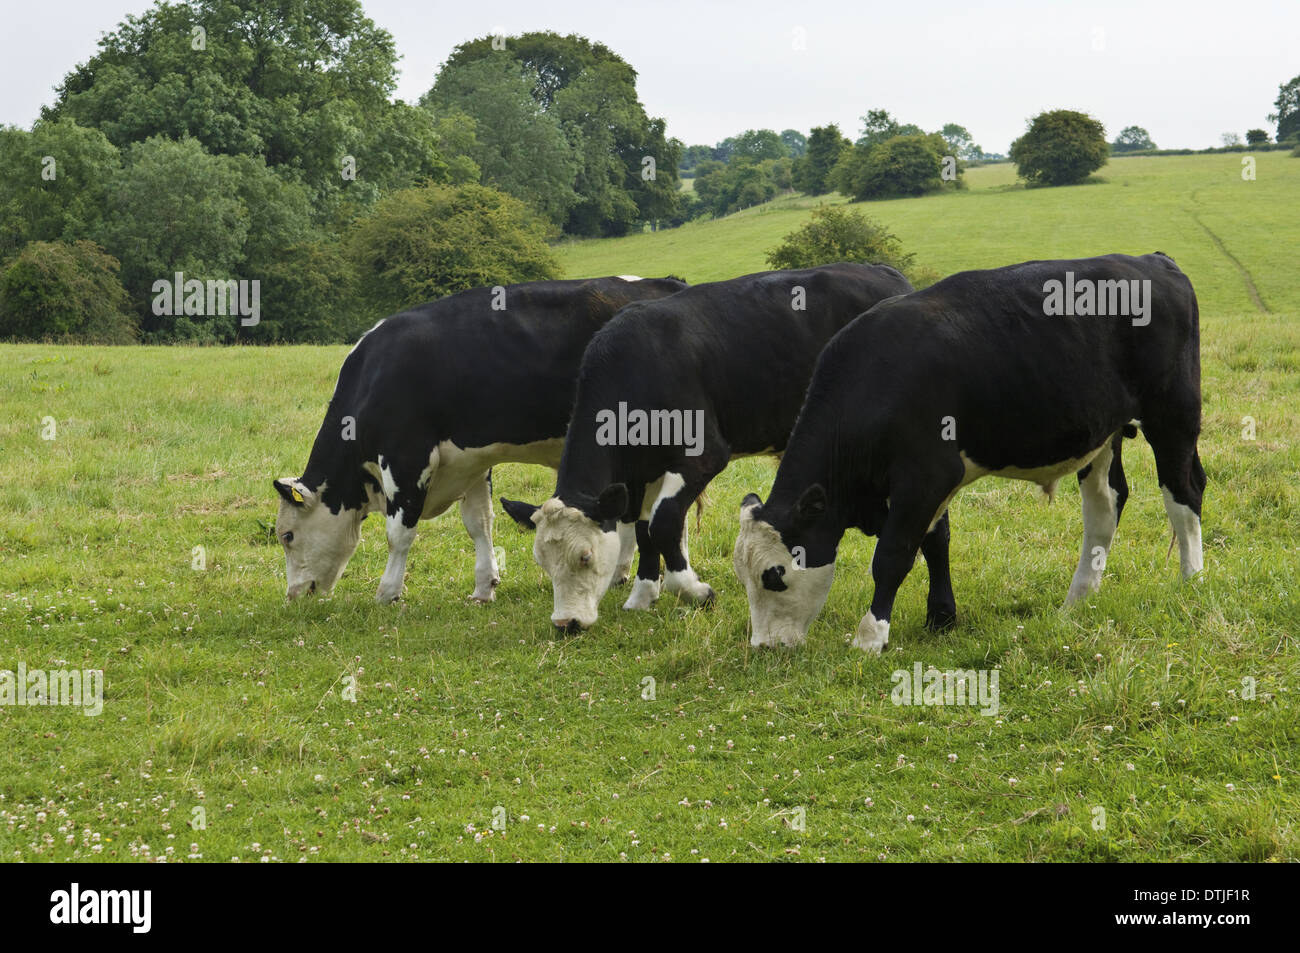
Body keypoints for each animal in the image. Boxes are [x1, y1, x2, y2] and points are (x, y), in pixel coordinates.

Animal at [272, 275, 687, 603]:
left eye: (287, 536)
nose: (293, 595)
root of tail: (669, 284)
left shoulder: (406, 458)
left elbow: (398, 534)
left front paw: (388, 593)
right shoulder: (469, 462)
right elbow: (478, 523)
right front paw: (485, 587)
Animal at [503, 263, 923, 632]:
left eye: (584, 556)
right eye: (543, 562)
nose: (566, 623)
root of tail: (883, 271)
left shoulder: (702, 455)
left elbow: (664, 523)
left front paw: (694, 591)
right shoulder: (640, 474)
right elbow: (643, 529)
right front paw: (642, 595)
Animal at [734, 252, 1204, 654]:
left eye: (774, 577)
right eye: (743, 577)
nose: (763, 647)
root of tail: (1152, 261)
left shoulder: (926, 475)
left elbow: (893, 554)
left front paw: (870, 636)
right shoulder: (927, 484)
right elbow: (934, 542)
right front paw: (941, 617)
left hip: (1174, 414)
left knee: (1185, 491)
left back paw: (1191, 581)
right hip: (1103, 433)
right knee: (1106, 505)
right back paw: (1077, 601)